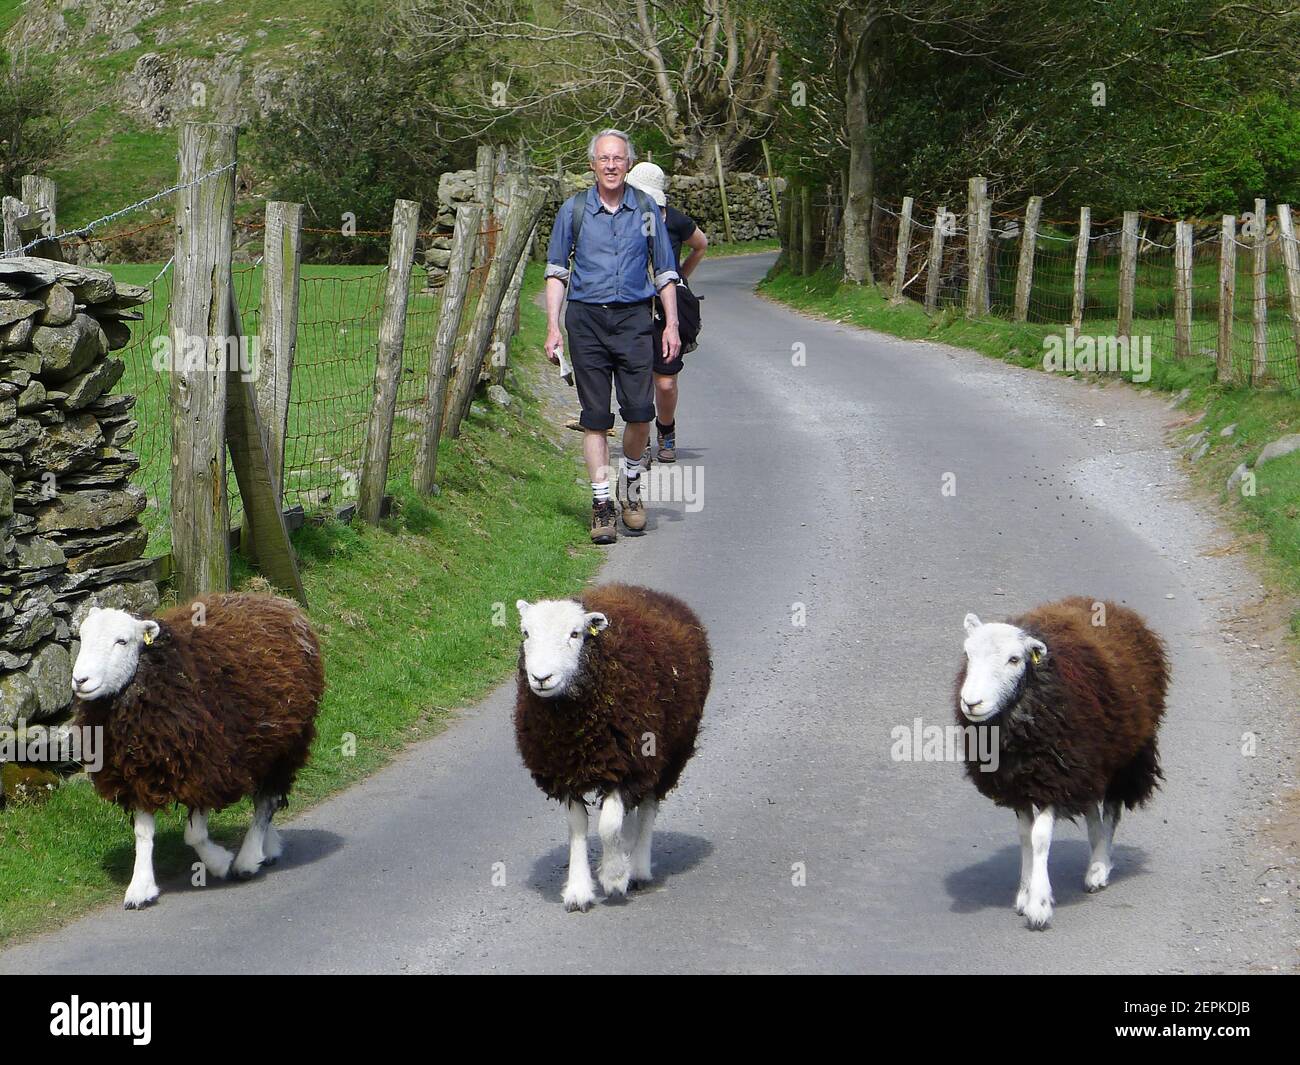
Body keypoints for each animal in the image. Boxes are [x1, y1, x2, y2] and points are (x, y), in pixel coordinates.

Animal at [71, 592, 324, 909]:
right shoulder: (136, 774)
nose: (80, 680)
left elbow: (194, 835)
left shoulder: (206, 767)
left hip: (286, 745)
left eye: (122, 641)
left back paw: (248, 858)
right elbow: (143, 834)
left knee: (267, 802)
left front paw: (219, 862)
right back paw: (270, 846)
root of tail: (279, 602)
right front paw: (140, 888)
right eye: (81, 637)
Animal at [514, 582, 711, 911]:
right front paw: (579, 890)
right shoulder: (565, 770)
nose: (541, 678)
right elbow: (578, 826)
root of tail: (643, 590)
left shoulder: (627, 764)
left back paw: (638, 867)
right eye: (526, 633)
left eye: (575, 634)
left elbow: (607, 827)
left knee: (647, 806)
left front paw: (614, 876)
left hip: (666, 753)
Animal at [954, 596, 1169, 929]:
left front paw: (1039, 905)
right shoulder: (1021, 782)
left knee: (1110, 810)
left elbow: (1040, 838)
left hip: (1124, 757)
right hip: (1087, 765)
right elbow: (1025, 836)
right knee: (1092, 808)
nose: (971, 703)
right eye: (968, 654)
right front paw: (1024, 892)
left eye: (1014, 660)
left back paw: (1098, 867)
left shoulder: (1053, 779)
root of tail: (1107, 604)